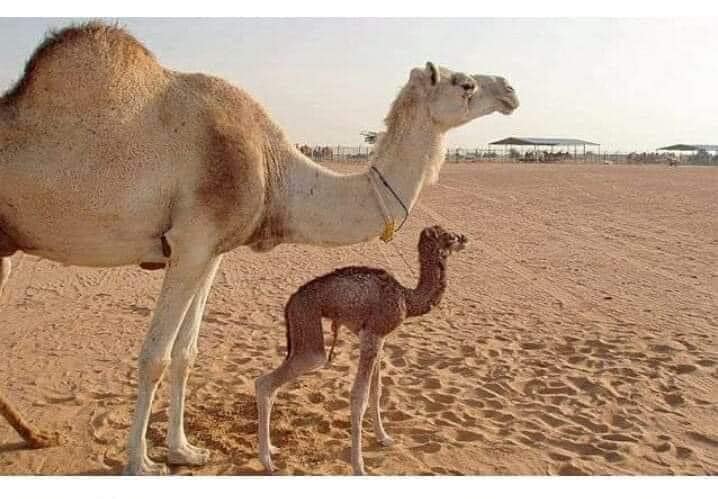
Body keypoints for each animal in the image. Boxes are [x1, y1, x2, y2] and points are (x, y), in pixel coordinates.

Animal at [256, 225, 467, 475]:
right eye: (451, 237)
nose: (465, 239)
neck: (407, 299)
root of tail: (291, 302)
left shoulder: (378, 339)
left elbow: (377, 390)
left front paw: (384, 438)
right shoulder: (372, 335)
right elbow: (360, 398)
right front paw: (359, 467)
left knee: (271, 384)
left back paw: (271, 449)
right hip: (308, 330)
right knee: (266, 382)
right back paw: (266, 460)